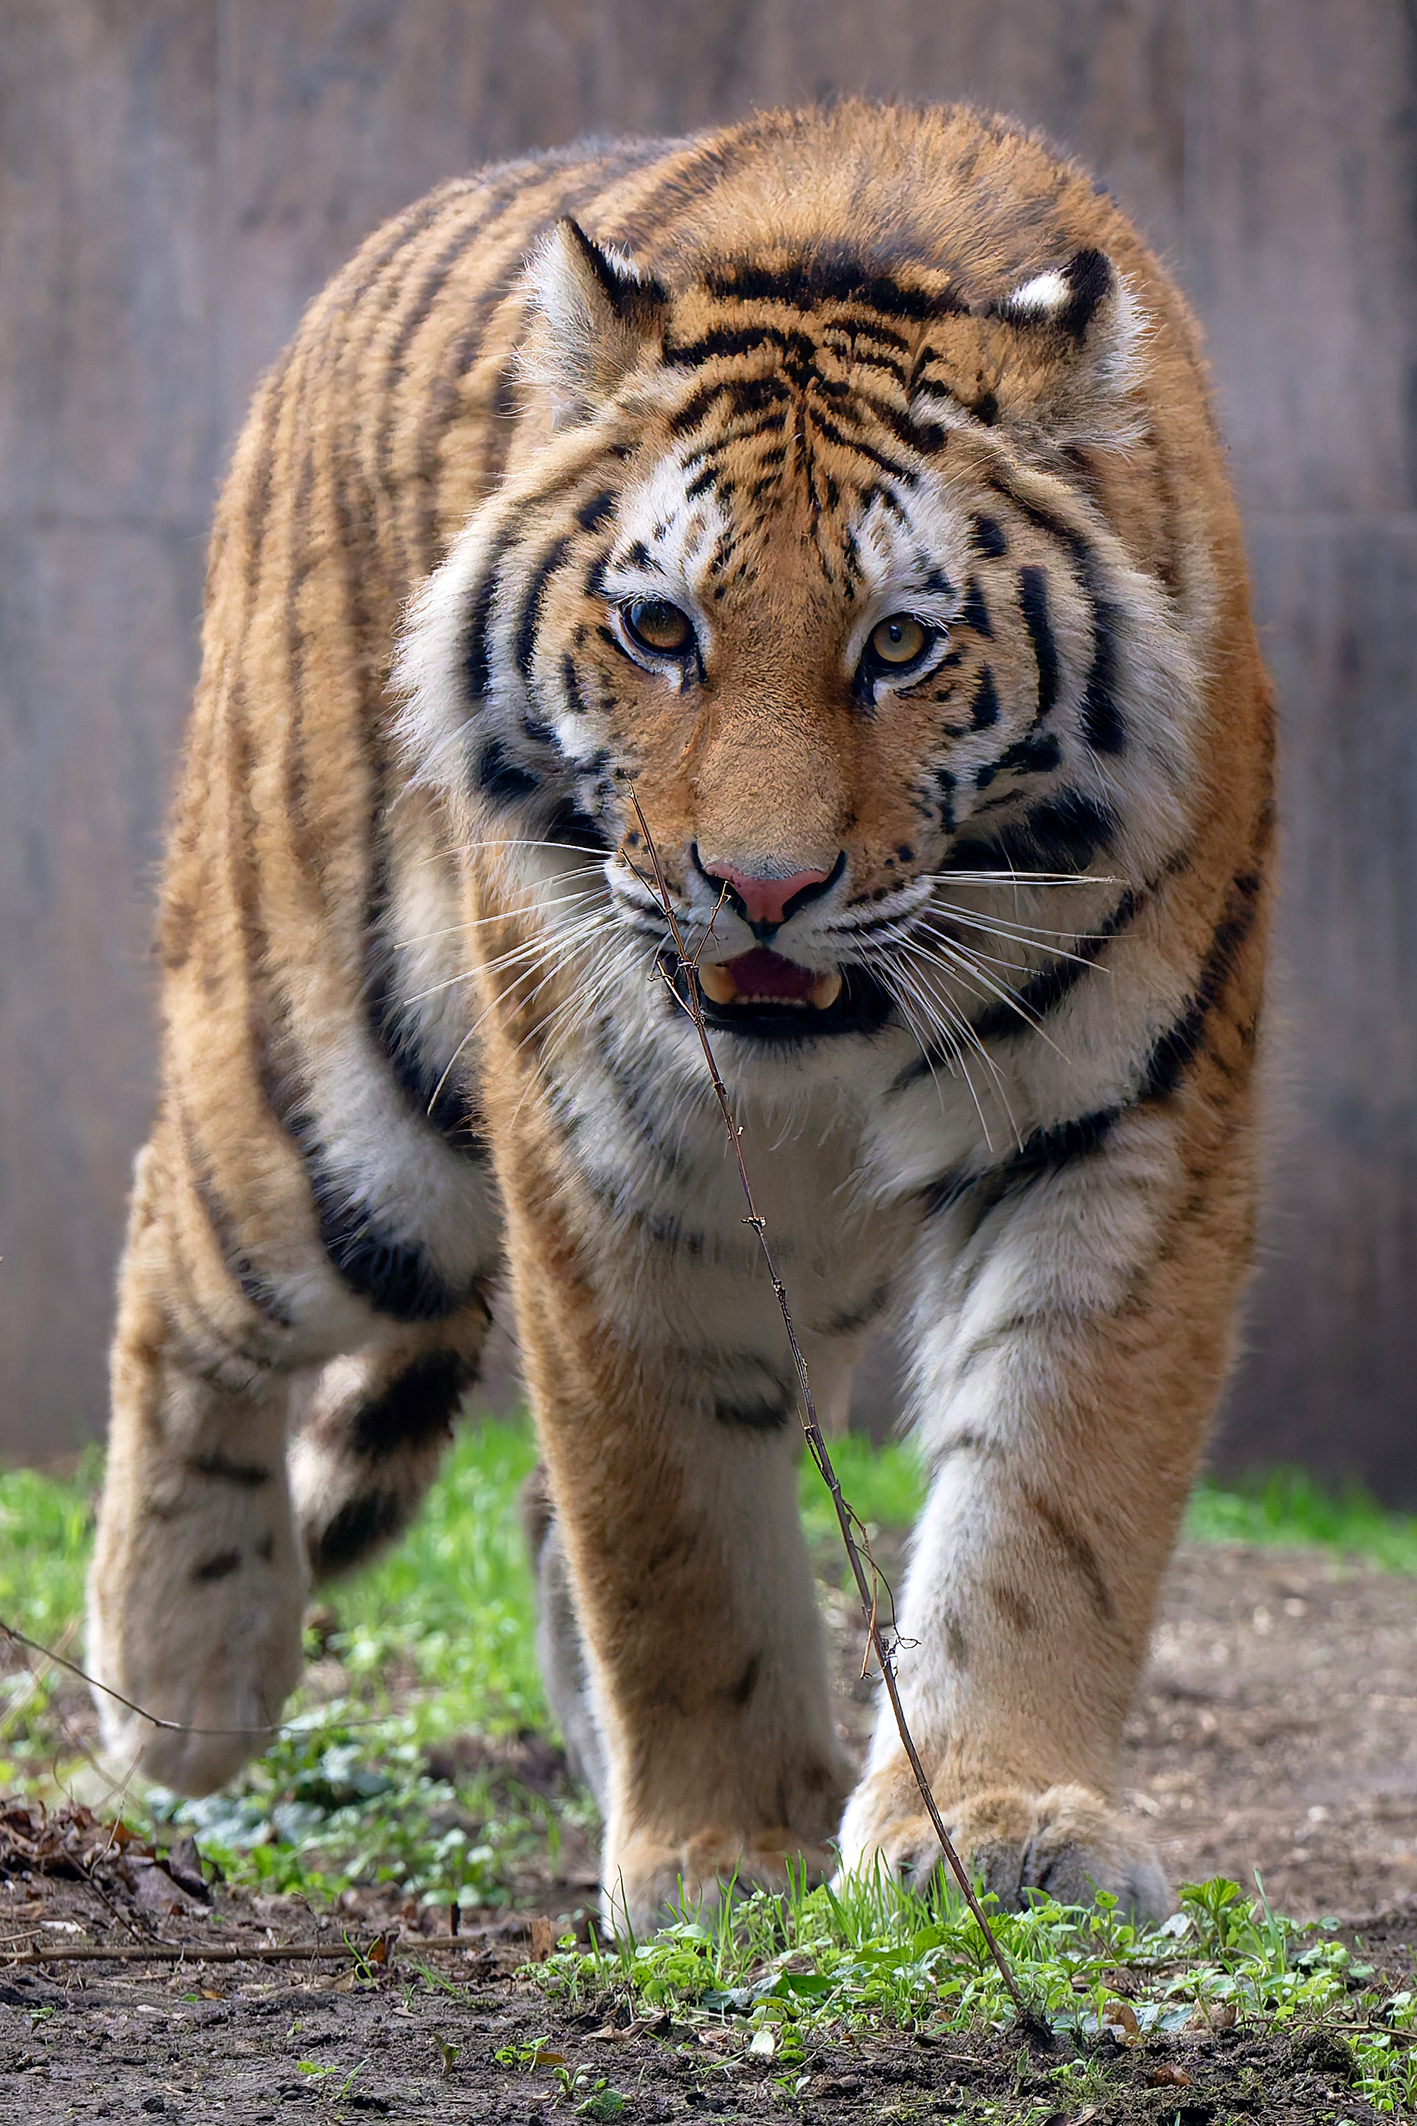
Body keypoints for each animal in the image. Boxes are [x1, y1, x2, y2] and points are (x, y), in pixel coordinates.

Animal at [86, 99, 1272, 1936]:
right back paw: (181, 1676)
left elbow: (1048, 1500)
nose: (761, 886)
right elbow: (665, 1520)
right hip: (342, 1108)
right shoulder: (607, 1161)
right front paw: (721, 1851)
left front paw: (1002, 1817)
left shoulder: (1122, 1129)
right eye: (661, 630)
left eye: (901, 644)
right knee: (178, 1248)